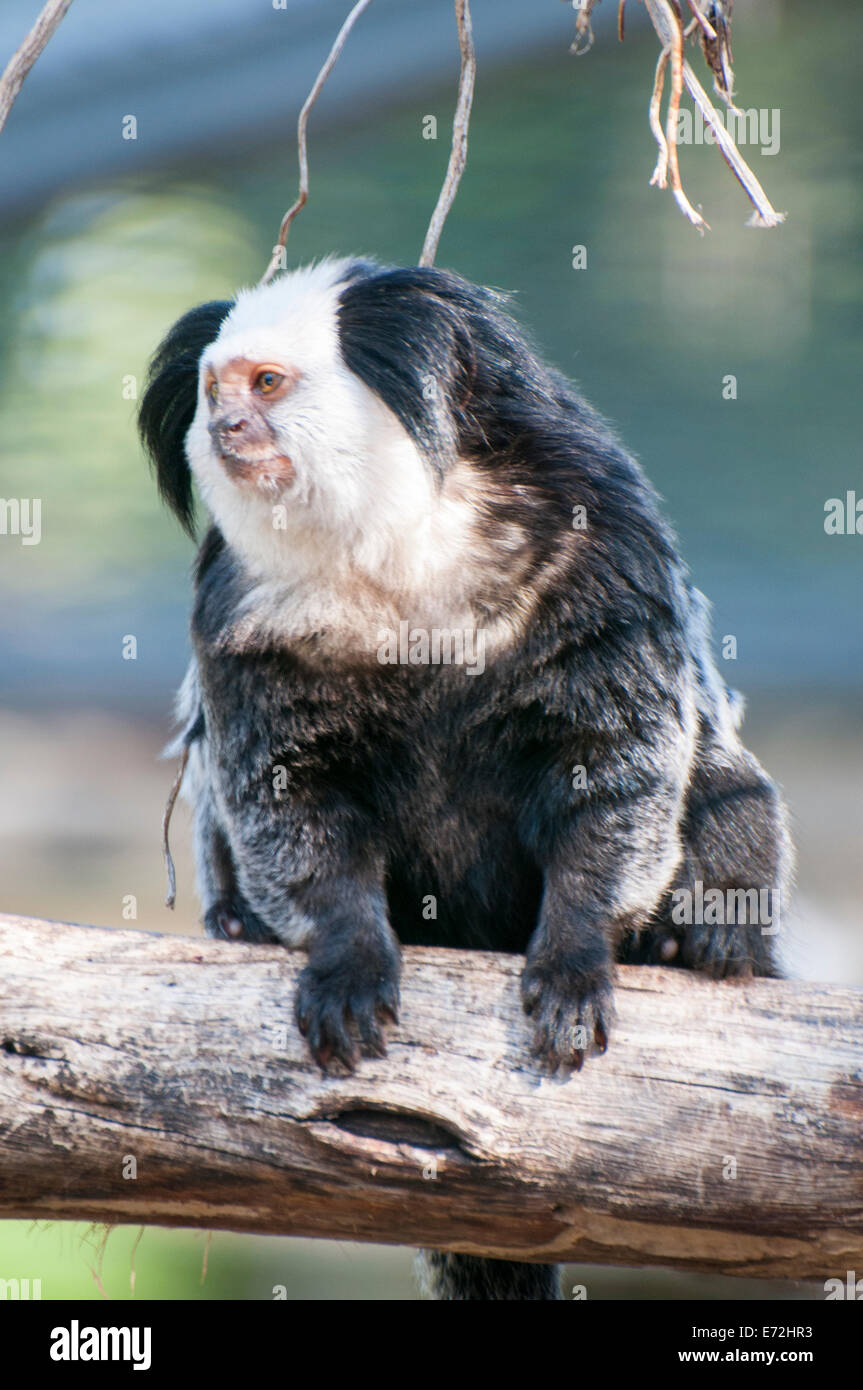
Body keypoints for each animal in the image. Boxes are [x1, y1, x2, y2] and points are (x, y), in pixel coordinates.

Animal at [139, 258, 793, 1300]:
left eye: (267, 384)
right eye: (211, 390)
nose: (227, 428)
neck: (404, 547)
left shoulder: (598, 540)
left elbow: (615, 767)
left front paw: (575, 954)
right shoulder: (239, 609)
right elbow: (285, 796)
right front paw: (345, 955)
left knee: (731, 789)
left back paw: (702, 939)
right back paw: (240, 922)